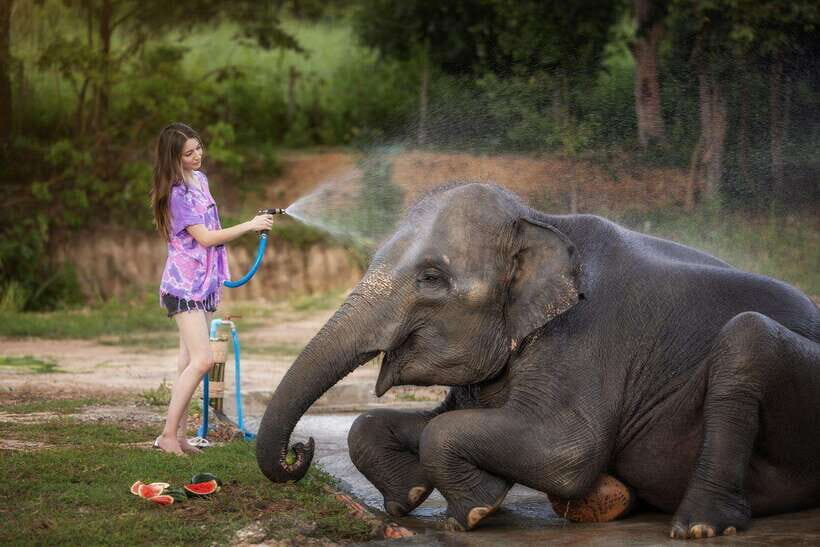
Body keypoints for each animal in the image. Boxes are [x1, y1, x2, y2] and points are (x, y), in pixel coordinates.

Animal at [256, 182, 820, 539]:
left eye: (431, 278)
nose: (300, 450)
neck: (540, 221)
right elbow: (412, 421)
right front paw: (410, 498)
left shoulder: (586, 338)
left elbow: (564, 450)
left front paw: (472, 512)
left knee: (746, 339)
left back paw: (698, 526)